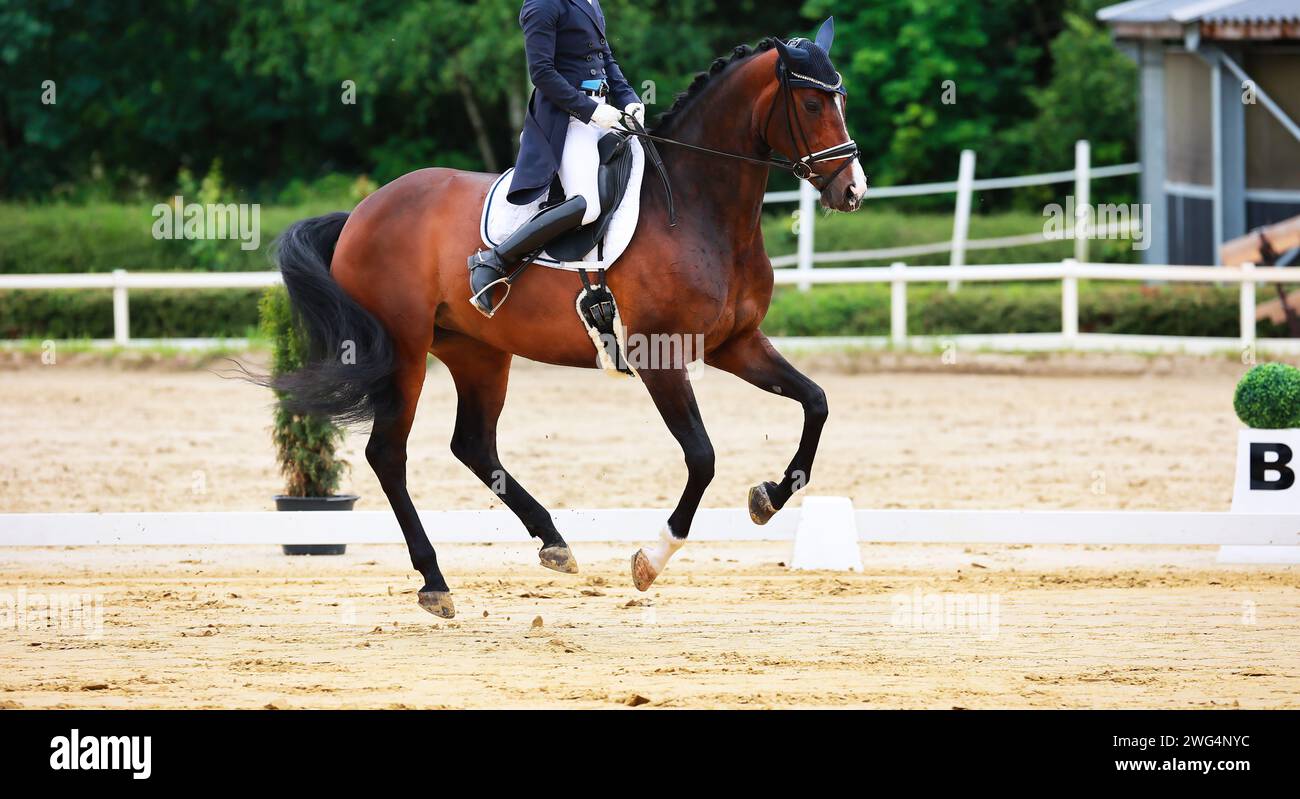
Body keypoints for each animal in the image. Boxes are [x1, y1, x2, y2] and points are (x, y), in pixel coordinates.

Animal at [270, 36, 865, 618]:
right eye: (812, 105)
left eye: (841, 100)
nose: (852, 191)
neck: (700, 209)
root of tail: (360, 212)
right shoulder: (659, 355)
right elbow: (702, 456)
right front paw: (651, 560)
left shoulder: (734, 344)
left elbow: (816, 402)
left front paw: (768, 498)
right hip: (406, 351)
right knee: (389, 455)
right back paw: (435, 582)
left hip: (478, 351)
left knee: (473, 445)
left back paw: (553, 542)